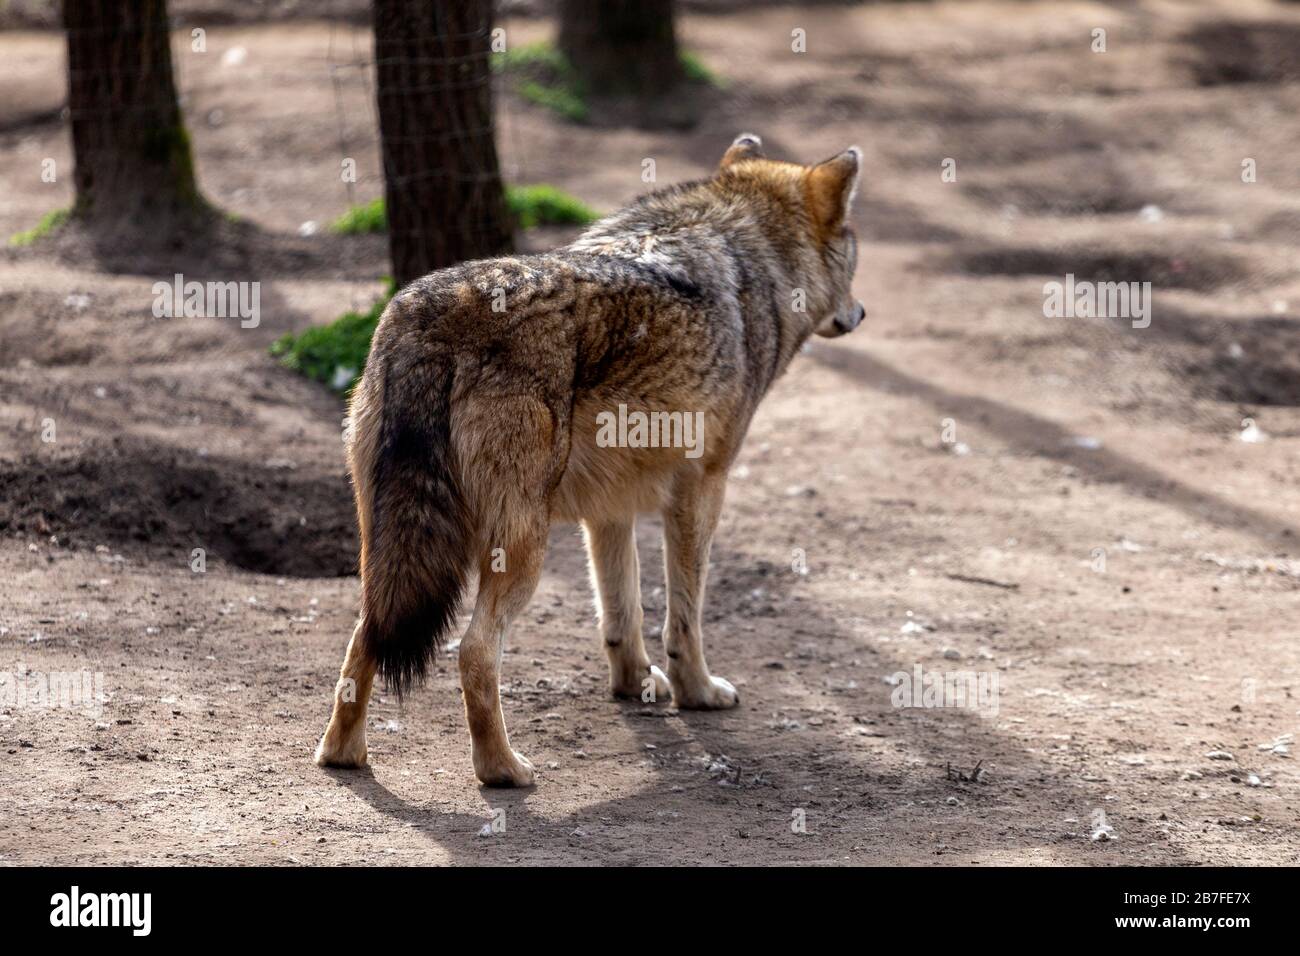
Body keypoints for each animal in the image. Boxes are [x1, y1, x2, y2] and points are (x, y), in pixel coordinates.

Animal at [315, 134, 865, 786]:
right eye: (856, 254)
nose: (861, 314)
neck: (742, 252)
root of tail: (425, 317)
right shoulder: (703, 491)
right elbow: (684, 618)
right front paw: (698, 692)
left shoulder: (609, 512)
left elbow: (620, 614)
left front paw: (635, 687)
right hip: (521, 549)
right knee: (474, 651)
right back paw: (503, 769)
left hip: (391, 552)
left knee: (365, 635)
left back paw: (343, 755)